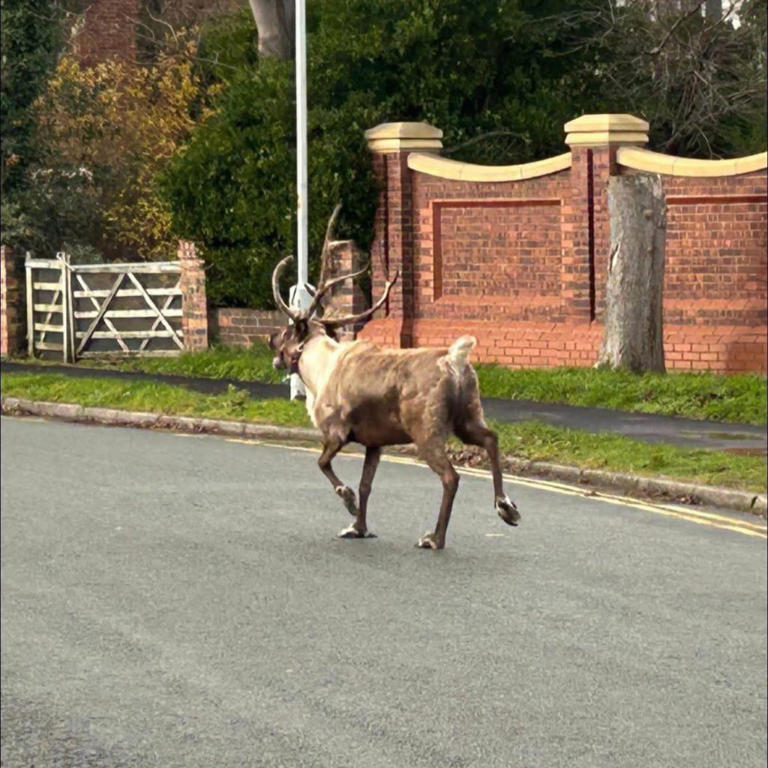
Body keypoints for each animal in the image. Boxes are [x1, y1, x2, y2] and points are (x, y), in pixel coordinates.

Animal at [268, 206, 520, 550]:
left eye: (286, 332)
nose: (270, 341)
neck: (317, 371)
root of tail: (455, 360)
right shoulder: (375, 442)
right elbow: (366, 485)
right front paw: (358, 527)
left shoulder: (336, 431)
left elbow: (323, 464)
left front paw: (347, 501)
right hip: (467, 416)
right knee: (492, 439)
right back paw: (506, 507)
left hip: (426, 429)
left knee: (451, 476)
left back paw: (435, 537)